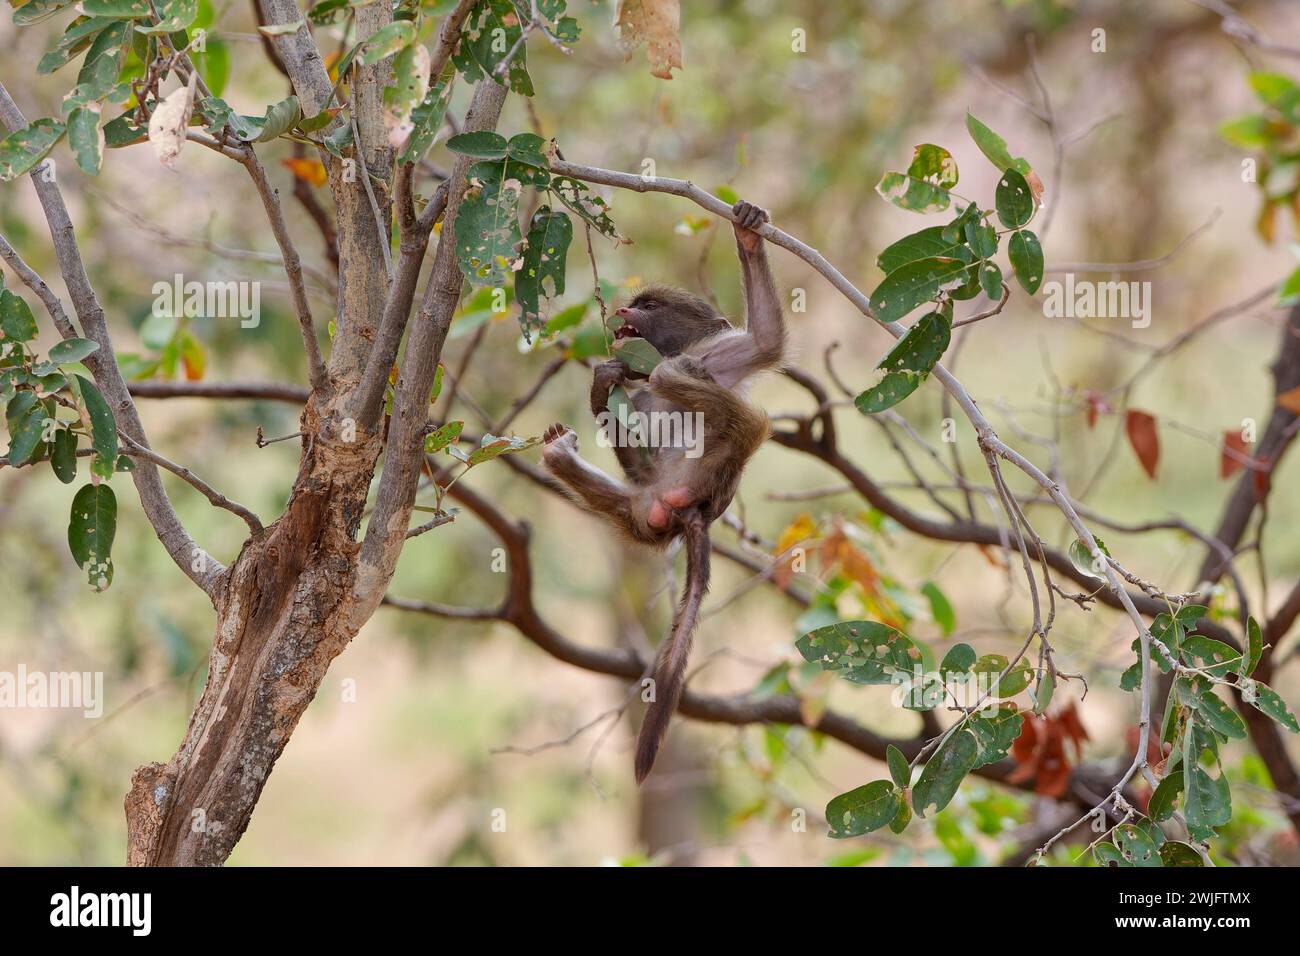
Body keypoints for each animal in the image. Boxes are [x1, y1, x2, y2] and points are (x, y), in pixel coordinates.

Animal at [541, 199, 787, 783]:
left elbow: (764, 342)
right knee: (630, 482)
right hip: (641, 505)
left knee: (727, 412)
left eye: (650, 306)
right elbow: (630, 426)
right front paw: (601, 383)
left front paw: (747, 229)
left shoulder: (721, 360)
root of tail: (691, 509)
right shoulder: (635, 407)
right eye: (633, 303)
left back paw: (673, 377)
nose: (619, 314)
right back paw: (562, 456)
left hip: (712, 469)